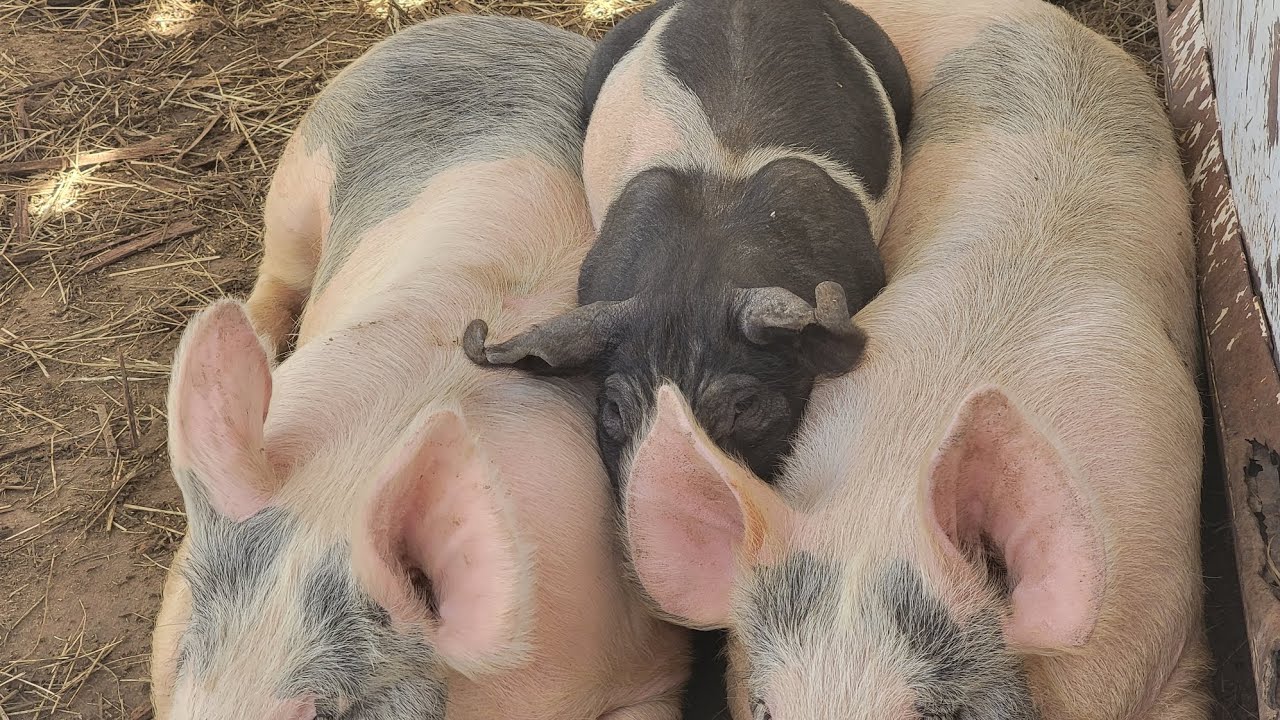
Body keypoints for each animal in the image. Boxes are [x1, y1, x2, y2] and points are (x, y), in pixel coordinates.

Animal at [148, 16, 689, 720]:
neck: (349, 483)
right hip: (299, 176)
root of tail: (486, 23)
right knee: (281, 272)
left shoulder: (649, 658)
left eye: (329, 711)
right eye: (189, 658)